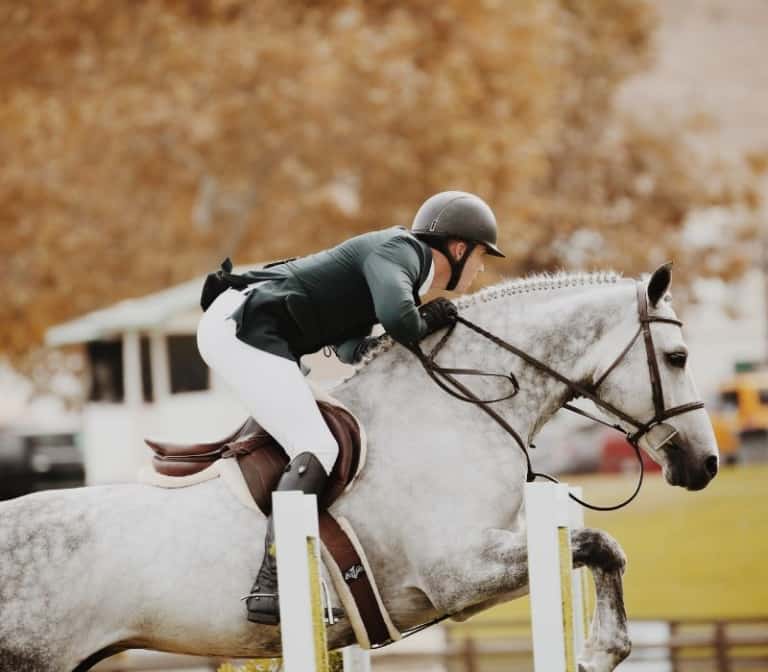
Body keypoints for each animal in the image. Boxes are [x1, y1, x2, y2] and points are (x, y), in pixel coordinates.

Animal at [0, 264, 718, 672]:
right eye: (678, 357)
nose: (705, 463)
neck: (453, 411)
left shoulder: (475, 582)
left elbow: (600, 548)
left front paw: (604, 648)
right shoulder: (458, 571)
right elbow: (600, 543)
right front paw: (603, 650)